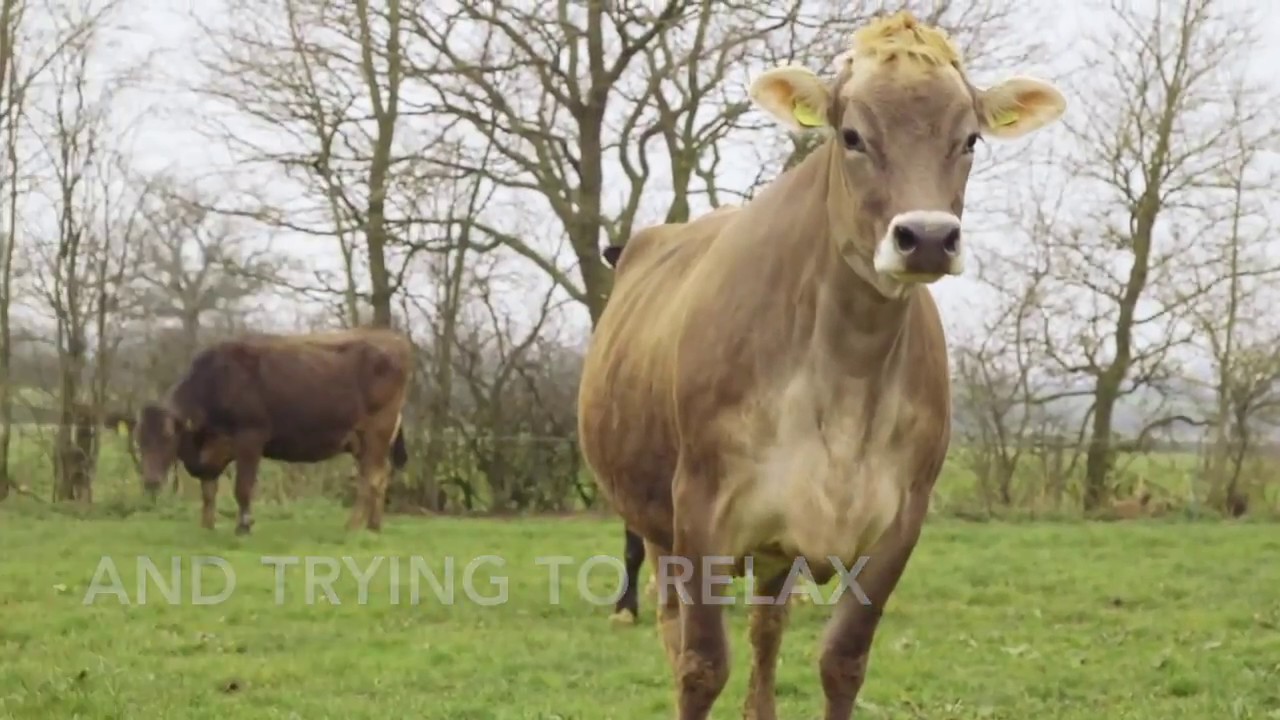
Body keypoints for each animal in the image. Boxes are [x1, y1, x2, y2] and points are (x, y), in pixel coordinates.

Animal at [134, 327, 413, 535]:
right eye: (140, 440)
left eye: (168, 436)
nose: (151, 480)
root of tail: (393, 339)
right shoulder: (215, 450)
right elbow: (208, 492)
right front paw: (206, 527)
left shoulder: (250, 437)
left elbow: (243, 488)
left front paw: (244, 526)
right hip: (362, 442)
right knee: (380, 476)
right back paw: (373, 527)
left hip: (375, 433)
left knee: (371, 479)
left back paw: (351, 527)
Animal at [576, 12, 1066, 719]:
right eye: (852, 134)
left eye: (969, 137)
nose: (927, 237)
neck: (848, 374)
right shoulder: (699, 509)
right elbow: (701, 665)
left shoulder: (900, 519)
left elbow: (842, 661)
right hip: (657, 514)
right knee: (674, 628)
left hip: (777, 540)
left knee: (766, 625)